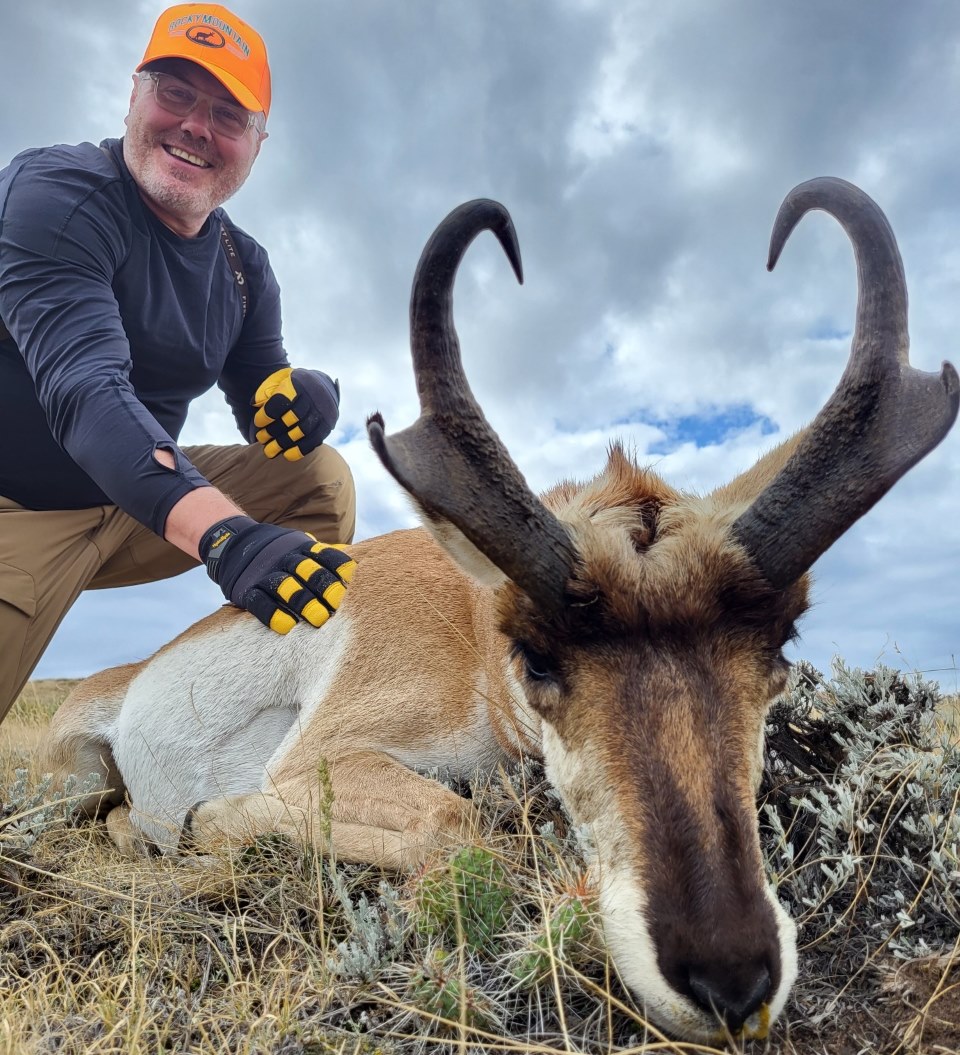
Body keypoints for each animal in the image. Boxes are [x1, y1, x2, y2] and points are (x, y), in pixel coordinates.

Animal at [45, 177, 958, 1043]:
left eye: (781, 644)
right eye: (537, 652)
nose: (729, 976)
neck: (470, 631)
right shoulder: (318, 760)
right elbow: (457, 822)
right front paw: (210, 820)